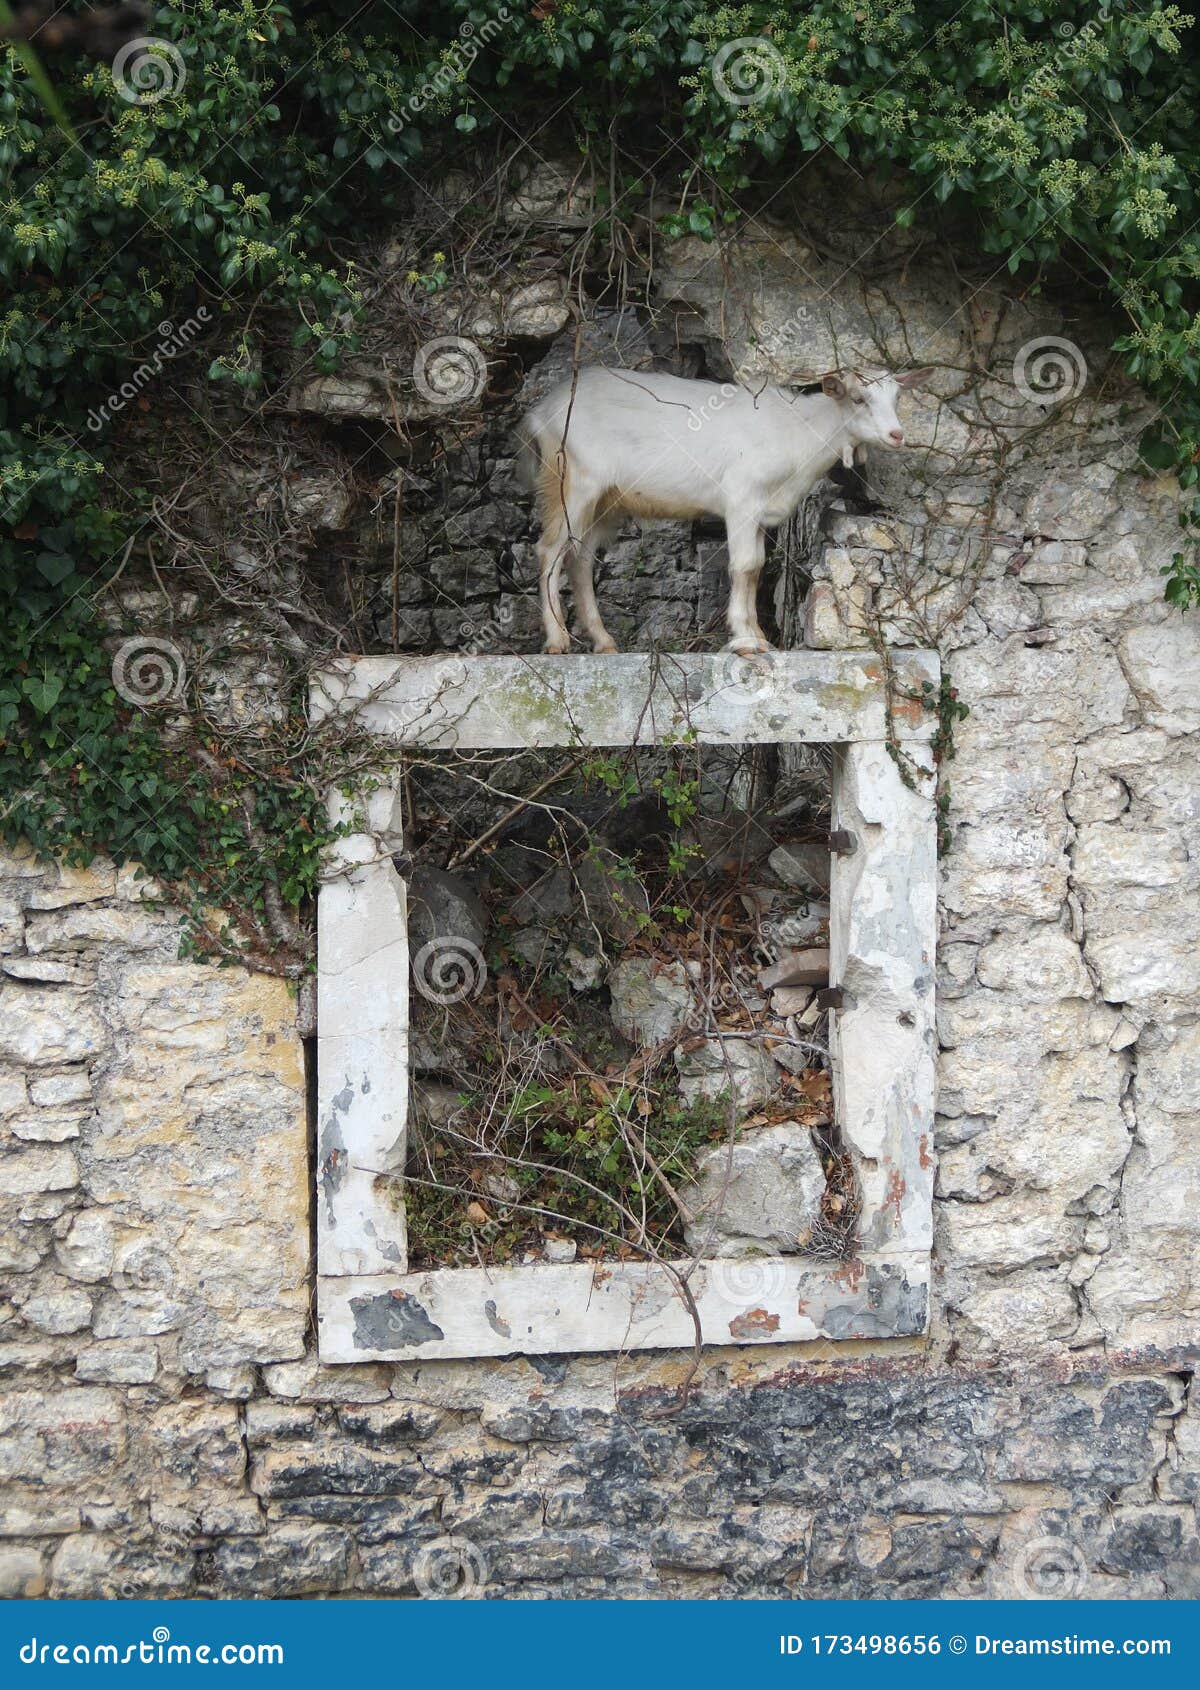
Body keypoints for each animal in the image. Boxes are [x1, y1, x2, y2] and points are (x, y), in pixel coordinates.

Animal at [516, 366, 933, 655]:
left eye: (897, 398)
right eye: (859, 398)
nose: (897, 435)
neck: (799, 430)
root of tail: (541, 411)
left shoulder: (761, 509)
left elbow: (757, 567)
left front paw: (757, 635)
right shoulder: (742, 498)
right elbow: (744, 566)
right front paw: (746, 640)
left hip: (606, 501)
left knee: (580, 559)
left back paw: (603, 641)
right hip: (573, 482)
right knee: (551, 550)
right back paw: (557, 640)